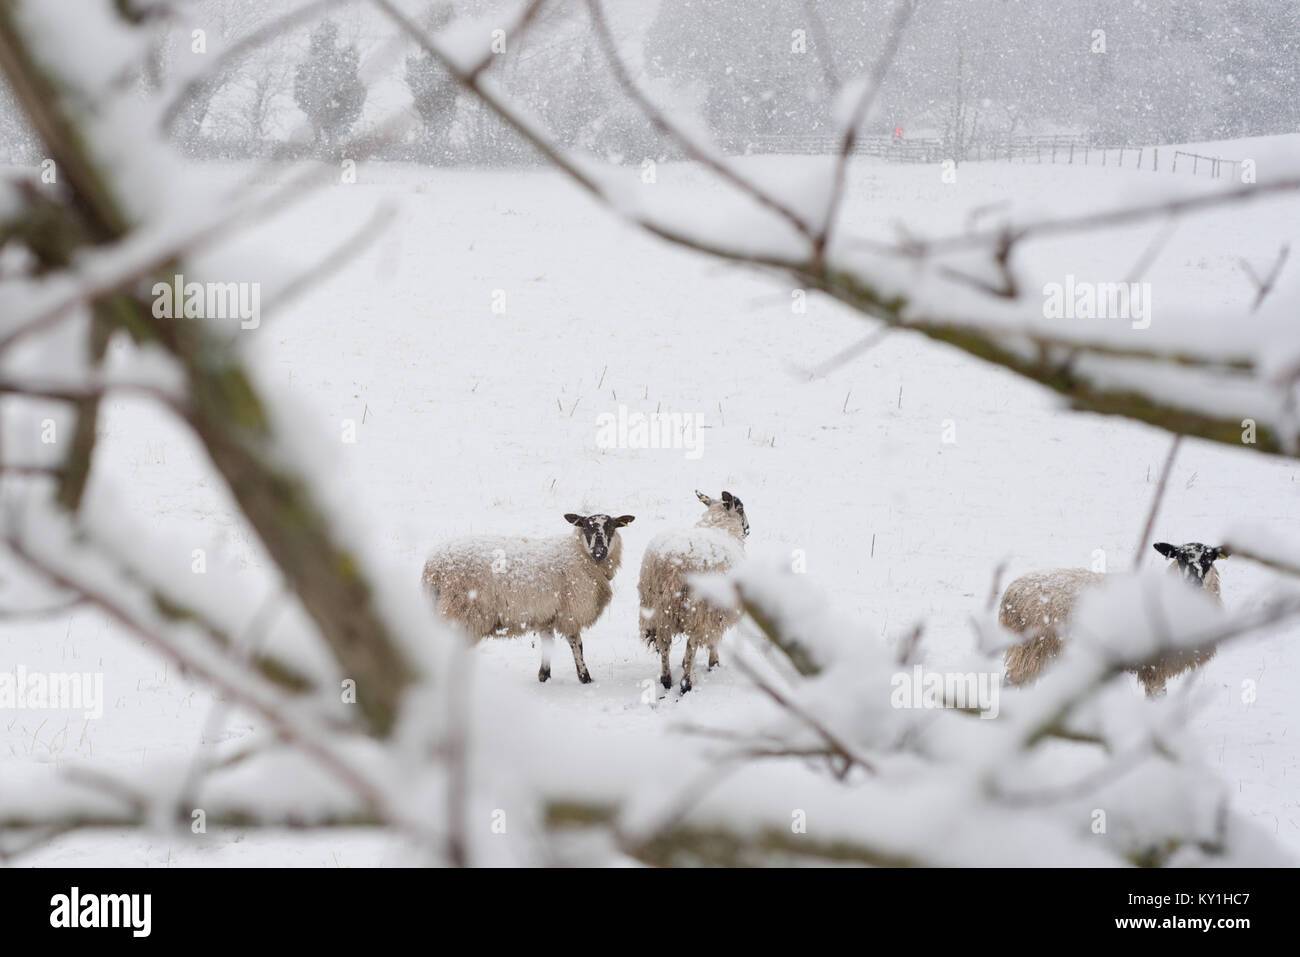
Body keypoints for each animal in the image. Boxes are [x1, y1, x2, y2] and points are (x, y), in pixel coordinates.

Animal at [422, 512, 635, 683]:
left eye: (611, 527)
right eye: (586, 526)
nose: (599, 552)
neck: (580, 555)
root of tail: (434, 568)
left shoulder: (547, 614)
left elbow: (548, 644)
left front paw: (544, 676)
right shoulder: (570, 612)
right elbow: (577, 645)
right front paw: (585, 677)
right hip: (460, 612)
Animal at [638, 490, 749, 693]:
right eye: (740, 507)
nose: (747, 528)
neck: (721, 526)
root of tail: (675, 563)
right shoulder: (716, 613)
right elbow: (713, 640)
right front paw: (714, 663)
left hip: (655, 606)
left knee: (665, 644)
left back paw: (666, 679)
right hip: (699, 609)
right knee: (692, 645)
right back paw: (686, 683)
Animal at [1000, 542, 1228, 696]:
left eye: (1209, 559)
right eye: (1180, 558)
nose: (1194, 582)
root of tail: (1011, 593)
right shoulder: (1154, 666)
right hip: (1031, 649)